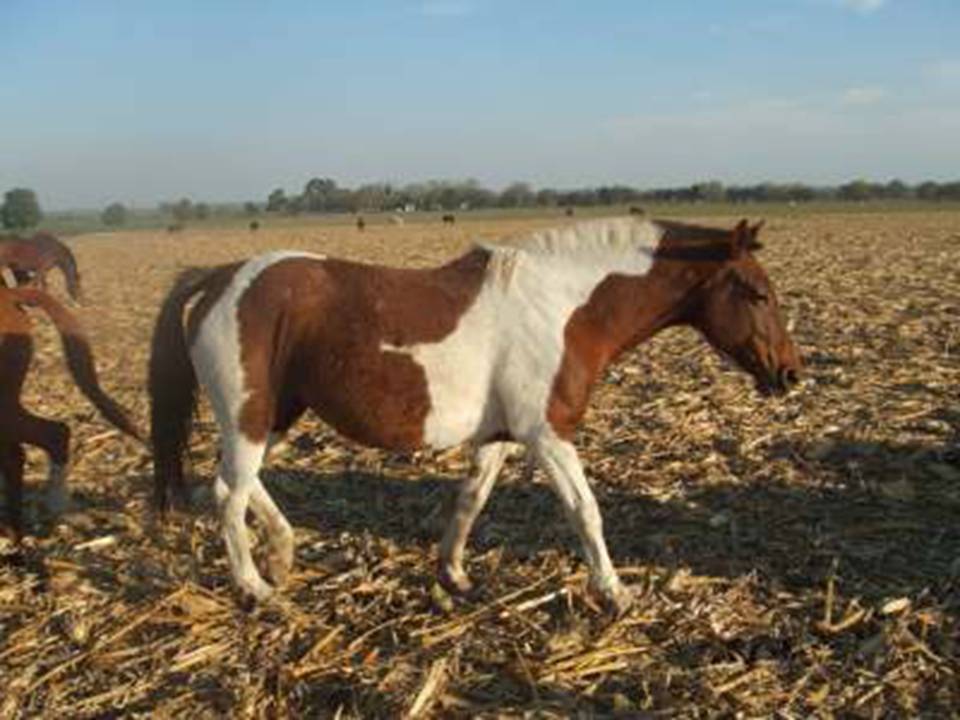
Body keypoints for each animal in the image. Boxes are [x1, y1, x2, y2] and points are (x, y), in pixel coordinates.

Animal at [148, 217, 801, 613]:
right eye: (757, 293)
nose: (790, 373)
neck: (563, 308)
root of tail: (220, 277)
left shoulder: (500, 437)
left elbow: (470, 501)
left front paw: (454, 575)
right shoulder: (548, 436)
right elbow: (586, 512)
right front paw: (613, 592)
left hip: (274, 417)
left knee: (237, 483)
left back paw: (282, 555)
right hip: (250, 419)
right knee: (228, 494)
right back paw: (255, 586)